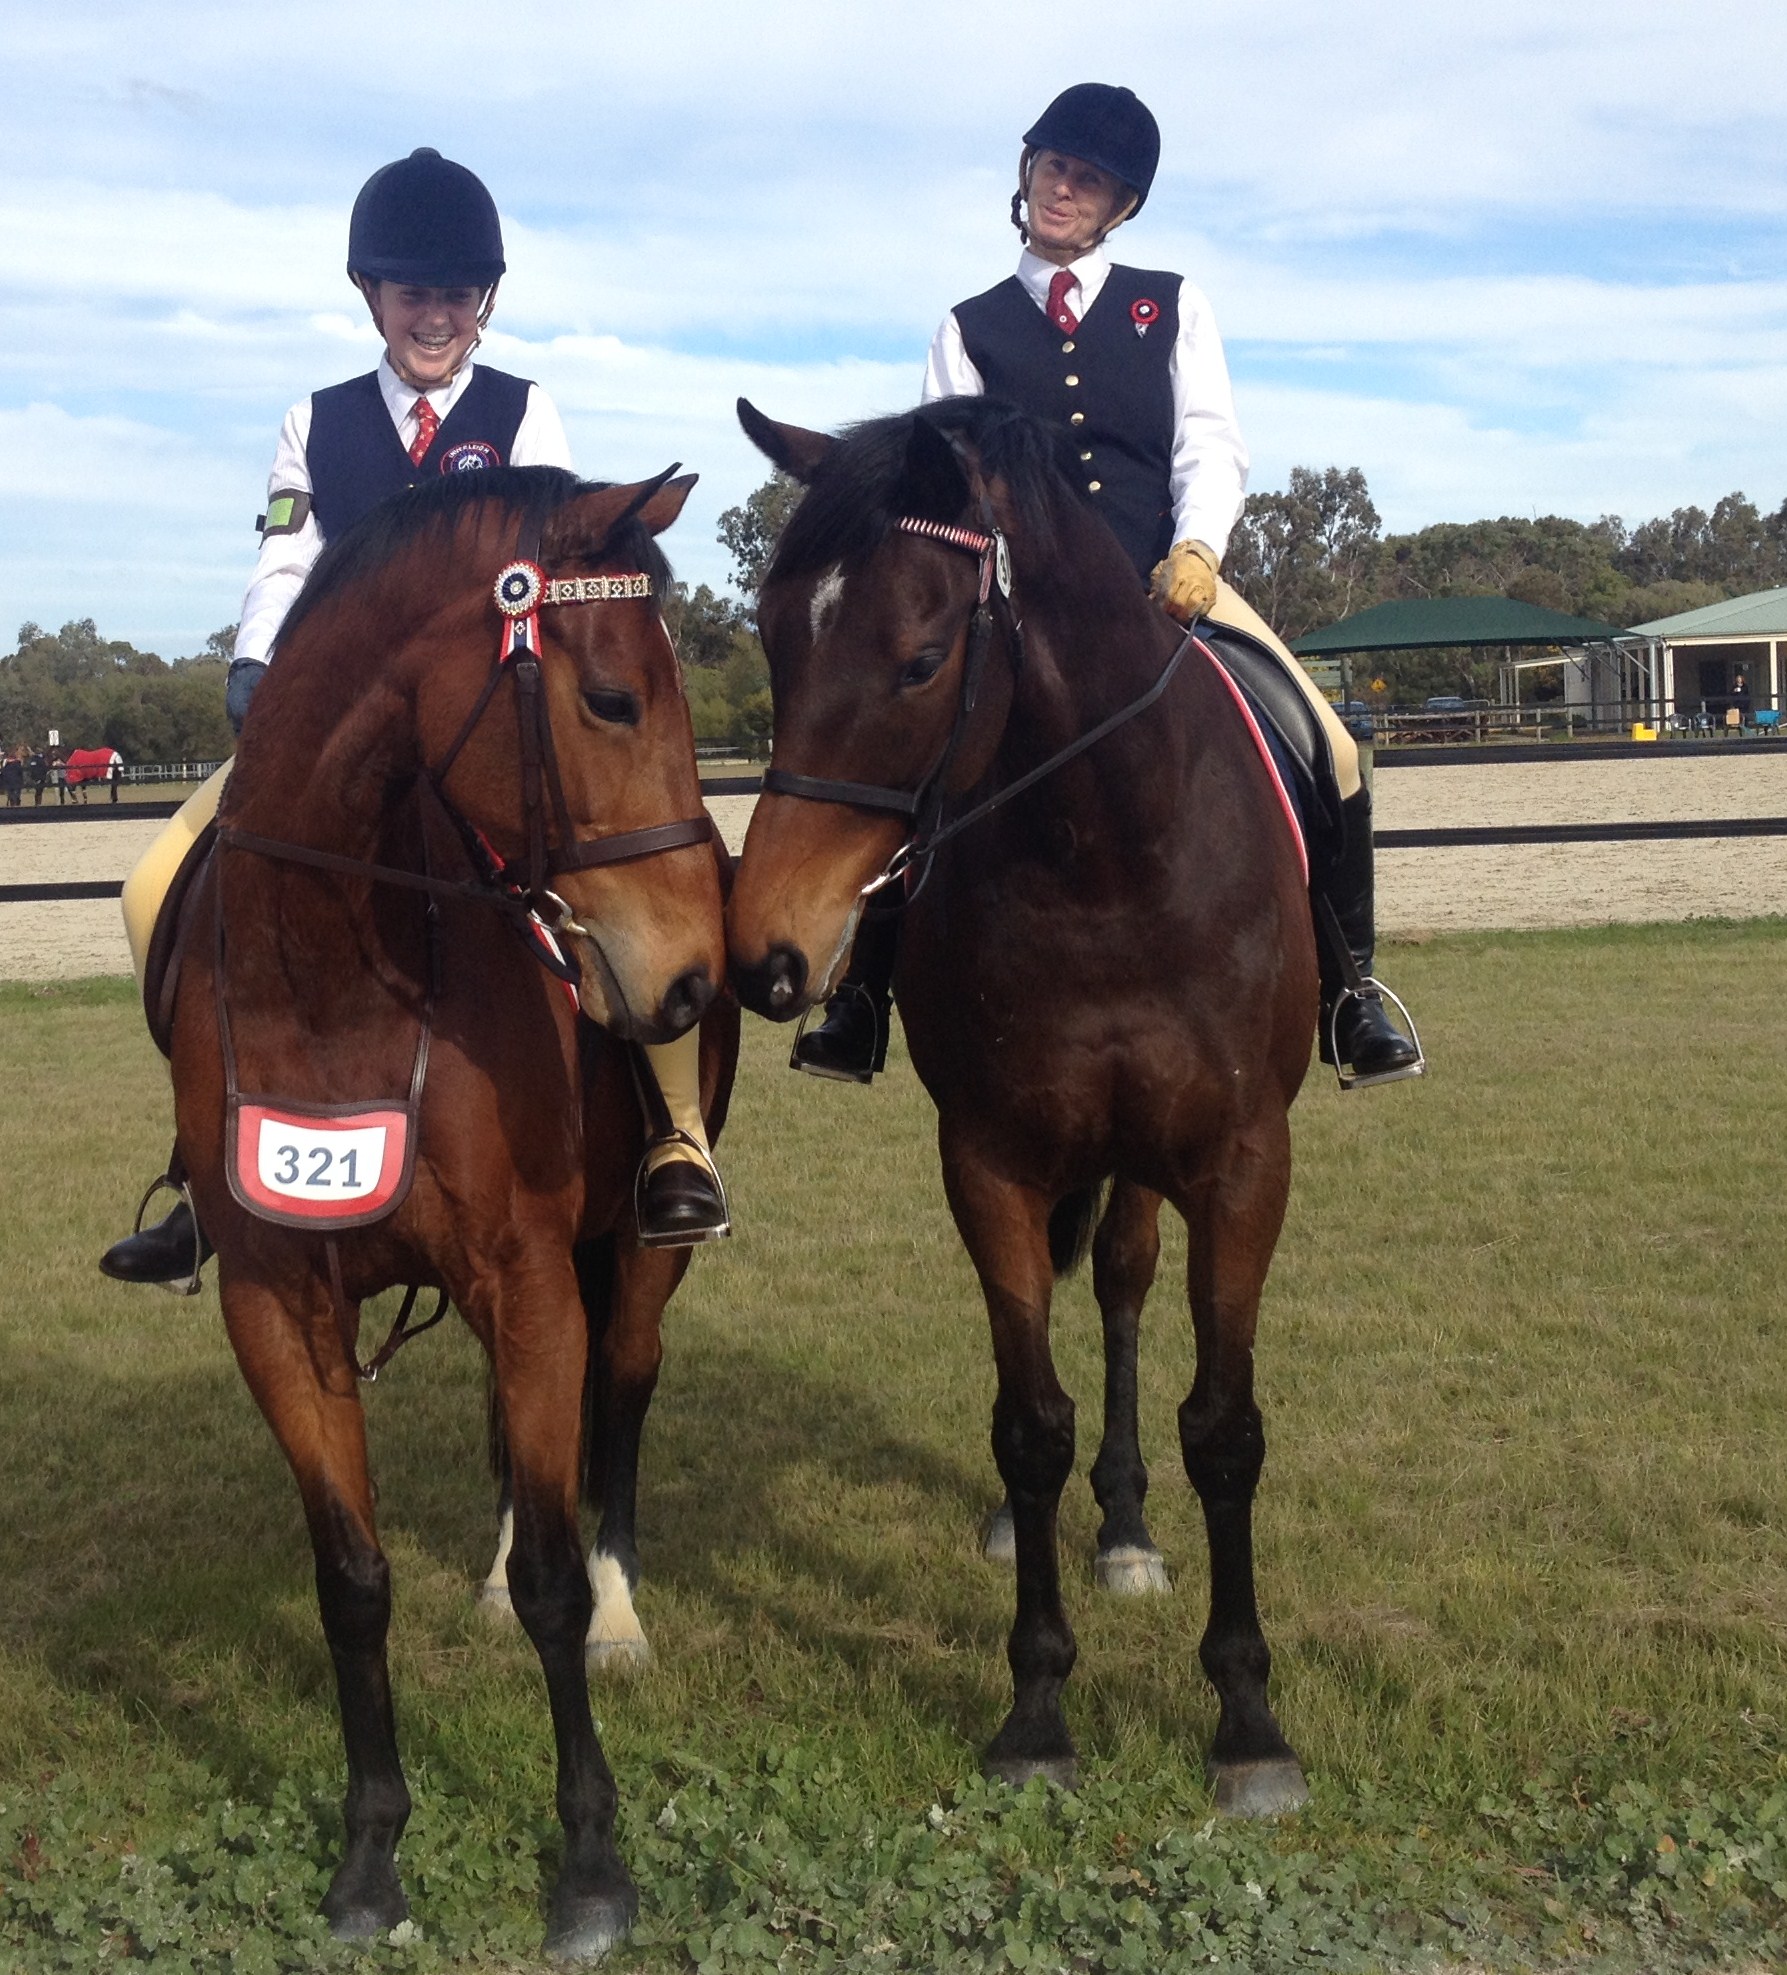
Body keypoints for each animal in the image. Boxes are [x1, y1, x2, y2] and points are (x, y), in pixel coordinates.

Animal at [164, 464, 735, 1958]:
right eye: (612, 698)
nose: (690, 978)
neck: (333, 974)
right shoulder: (277, 1306)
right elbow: (351, 1580)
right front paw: (370, 1855)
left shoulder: (529, 1276)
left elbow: (554, 1575)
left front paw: (589, 1863)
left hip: (629, 1268)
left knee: (619, 1404)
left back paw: (621, 1608)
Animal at [727, 396, 1317, 1815]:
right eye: (772, 636)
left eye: (918, 658)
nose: (767, 951)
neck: (1099, 853)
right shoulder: (988, 1159)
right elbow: (1027, 1424)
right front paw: (1037, 1705)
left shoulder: (1238, 1163)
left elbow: (1224, 1428)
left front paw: (1246, 1718)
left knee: (1119, 1282)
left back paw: (1128, 1526)